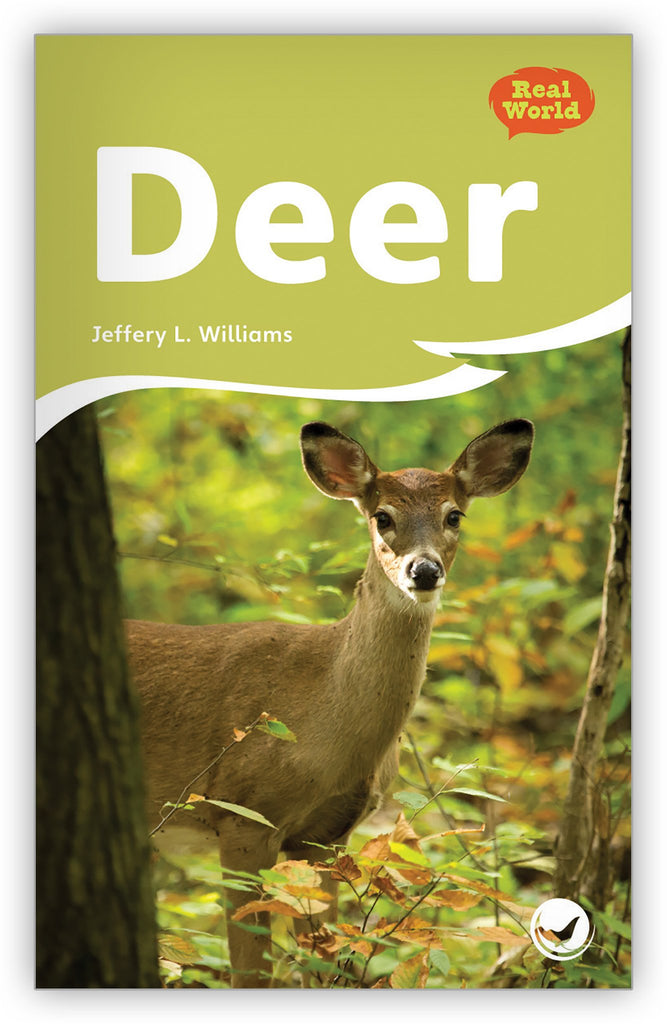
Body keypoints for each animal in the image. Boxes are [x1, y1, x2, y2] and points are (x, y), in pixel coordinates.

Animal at [125, 418, 534, 987]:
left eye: (455, 515)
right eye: (382, 516)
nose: (424, 570)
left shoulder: (326, 836)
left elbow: (324, 962)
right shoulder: (242, 813)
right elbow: (251, 972)